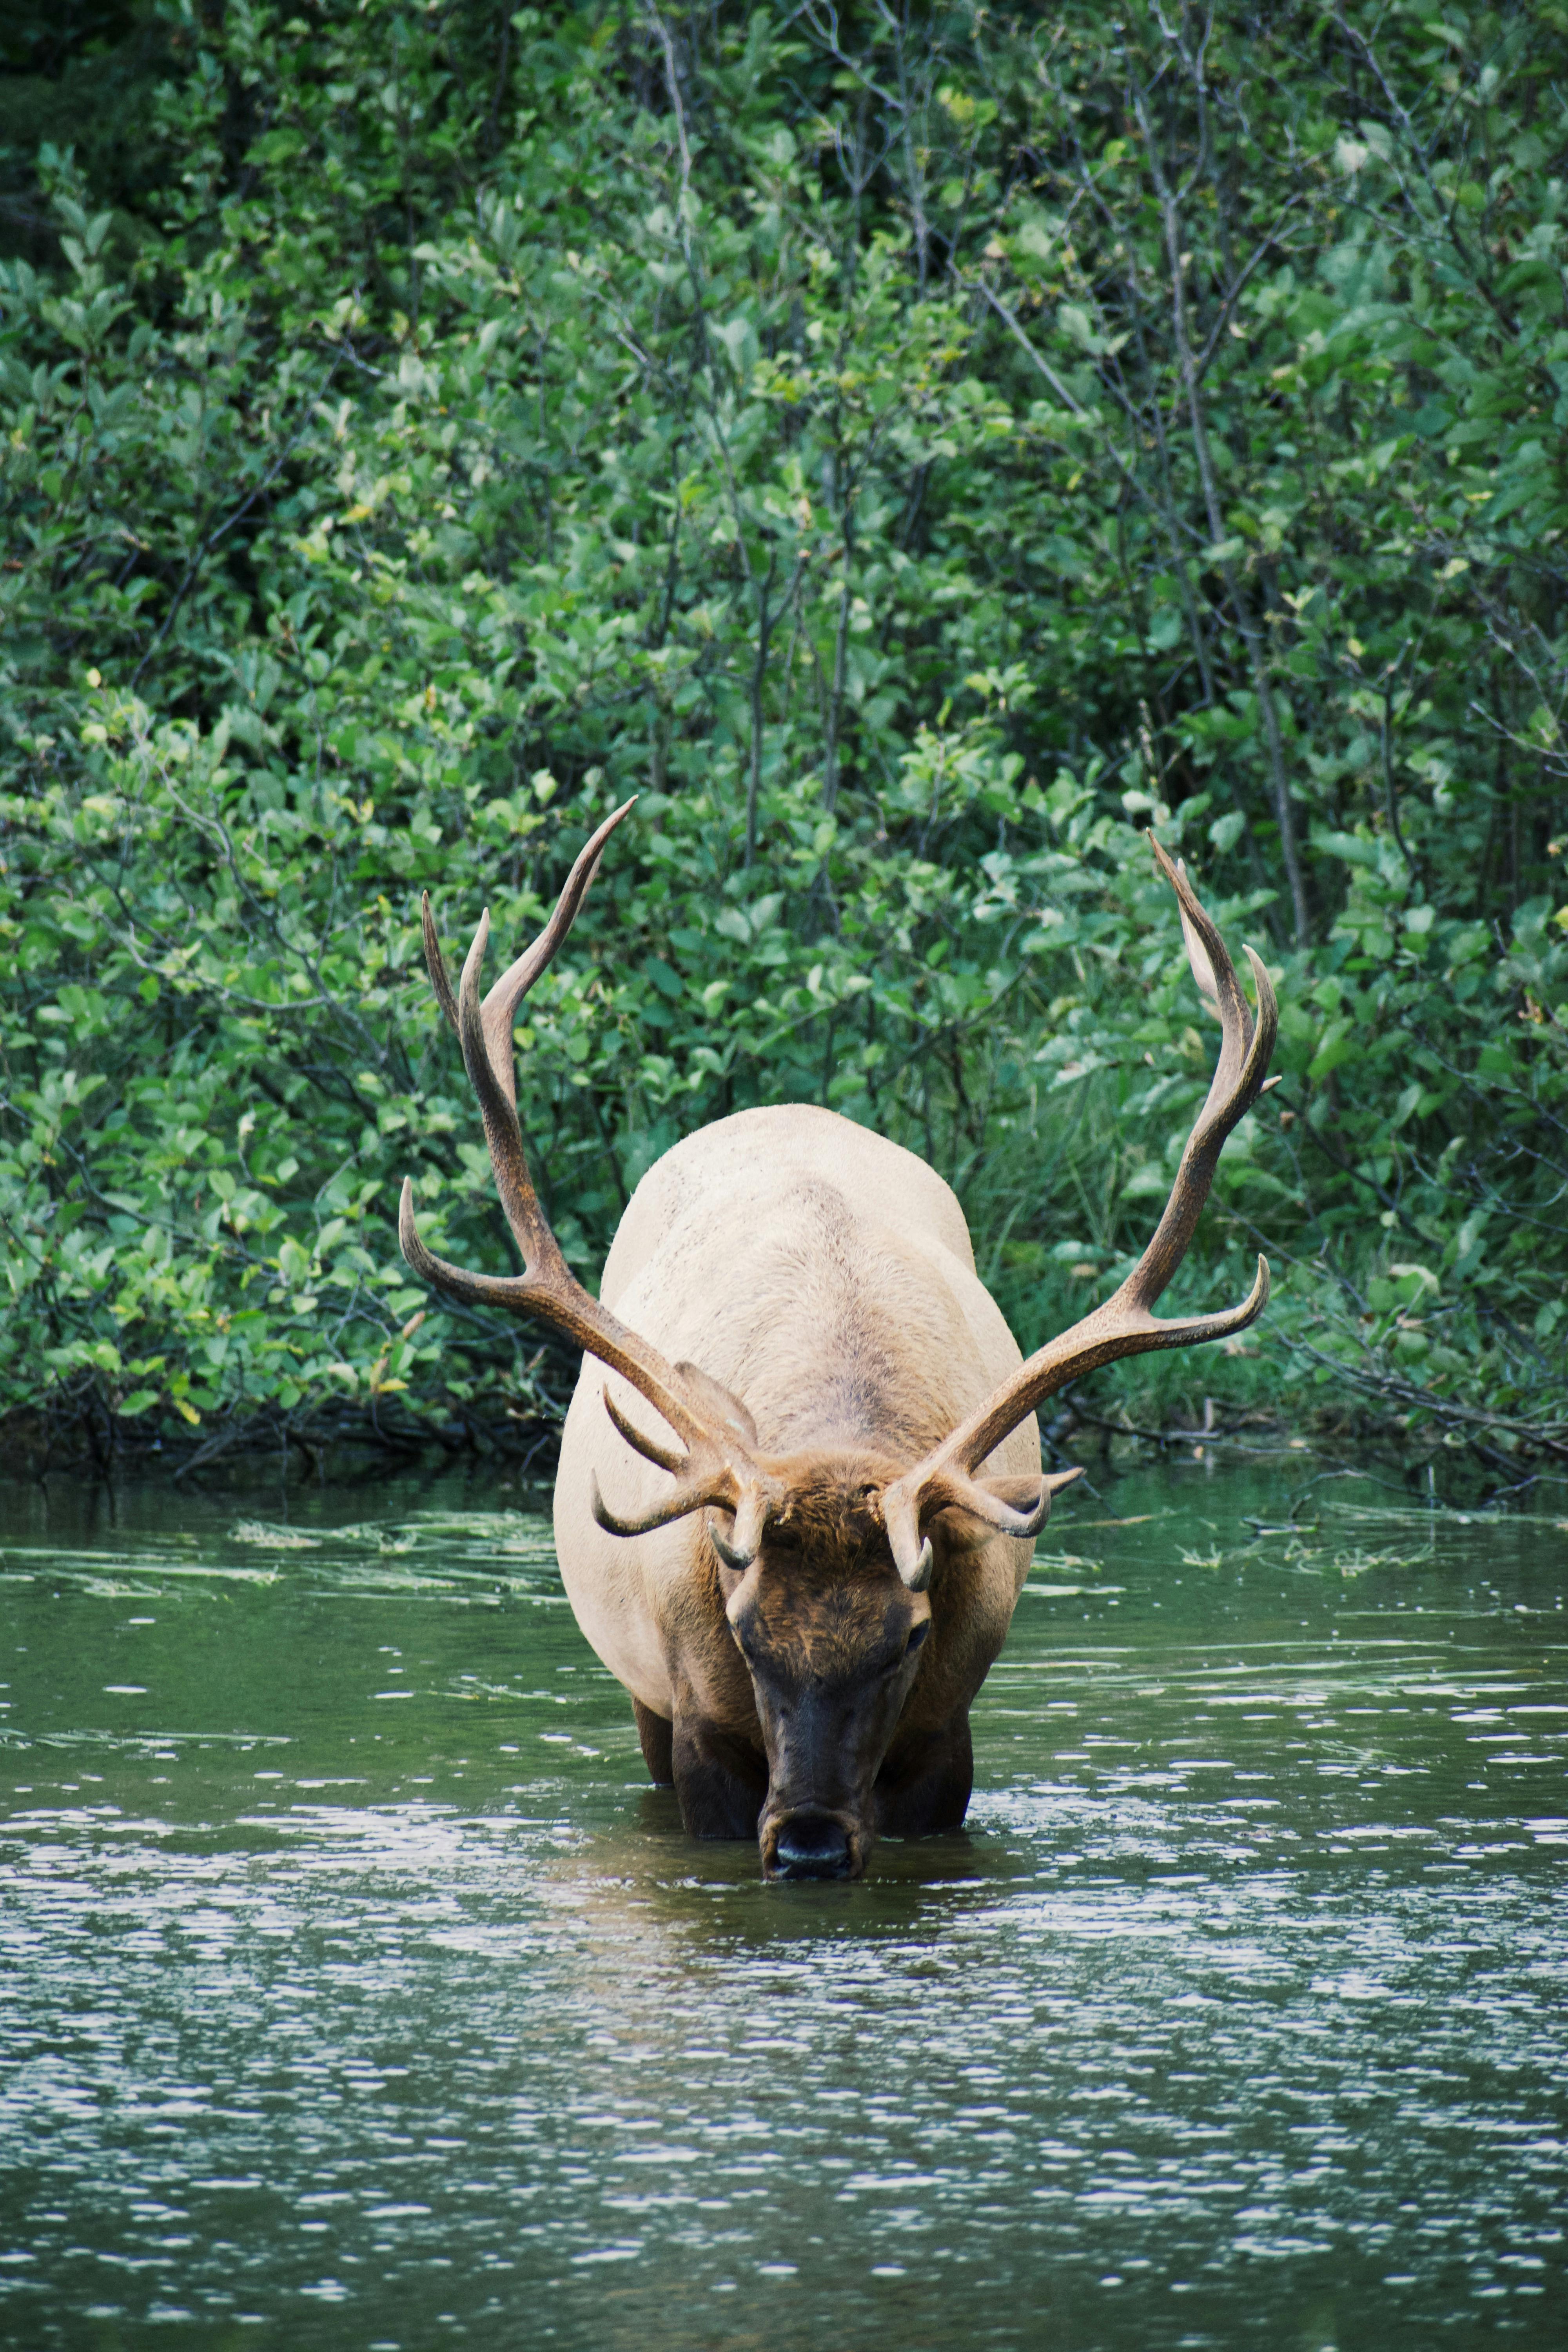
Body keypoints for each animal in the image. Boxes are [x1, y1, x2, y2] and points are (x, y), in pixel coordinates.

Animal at [399, 803, 1277, 1881]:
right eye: (744, 1631)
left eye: (910, 1636)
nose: (809, 1846)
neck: (834, 1428)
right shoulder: (695, 1725)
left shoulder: (948, 1734)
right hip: (641, 1694)